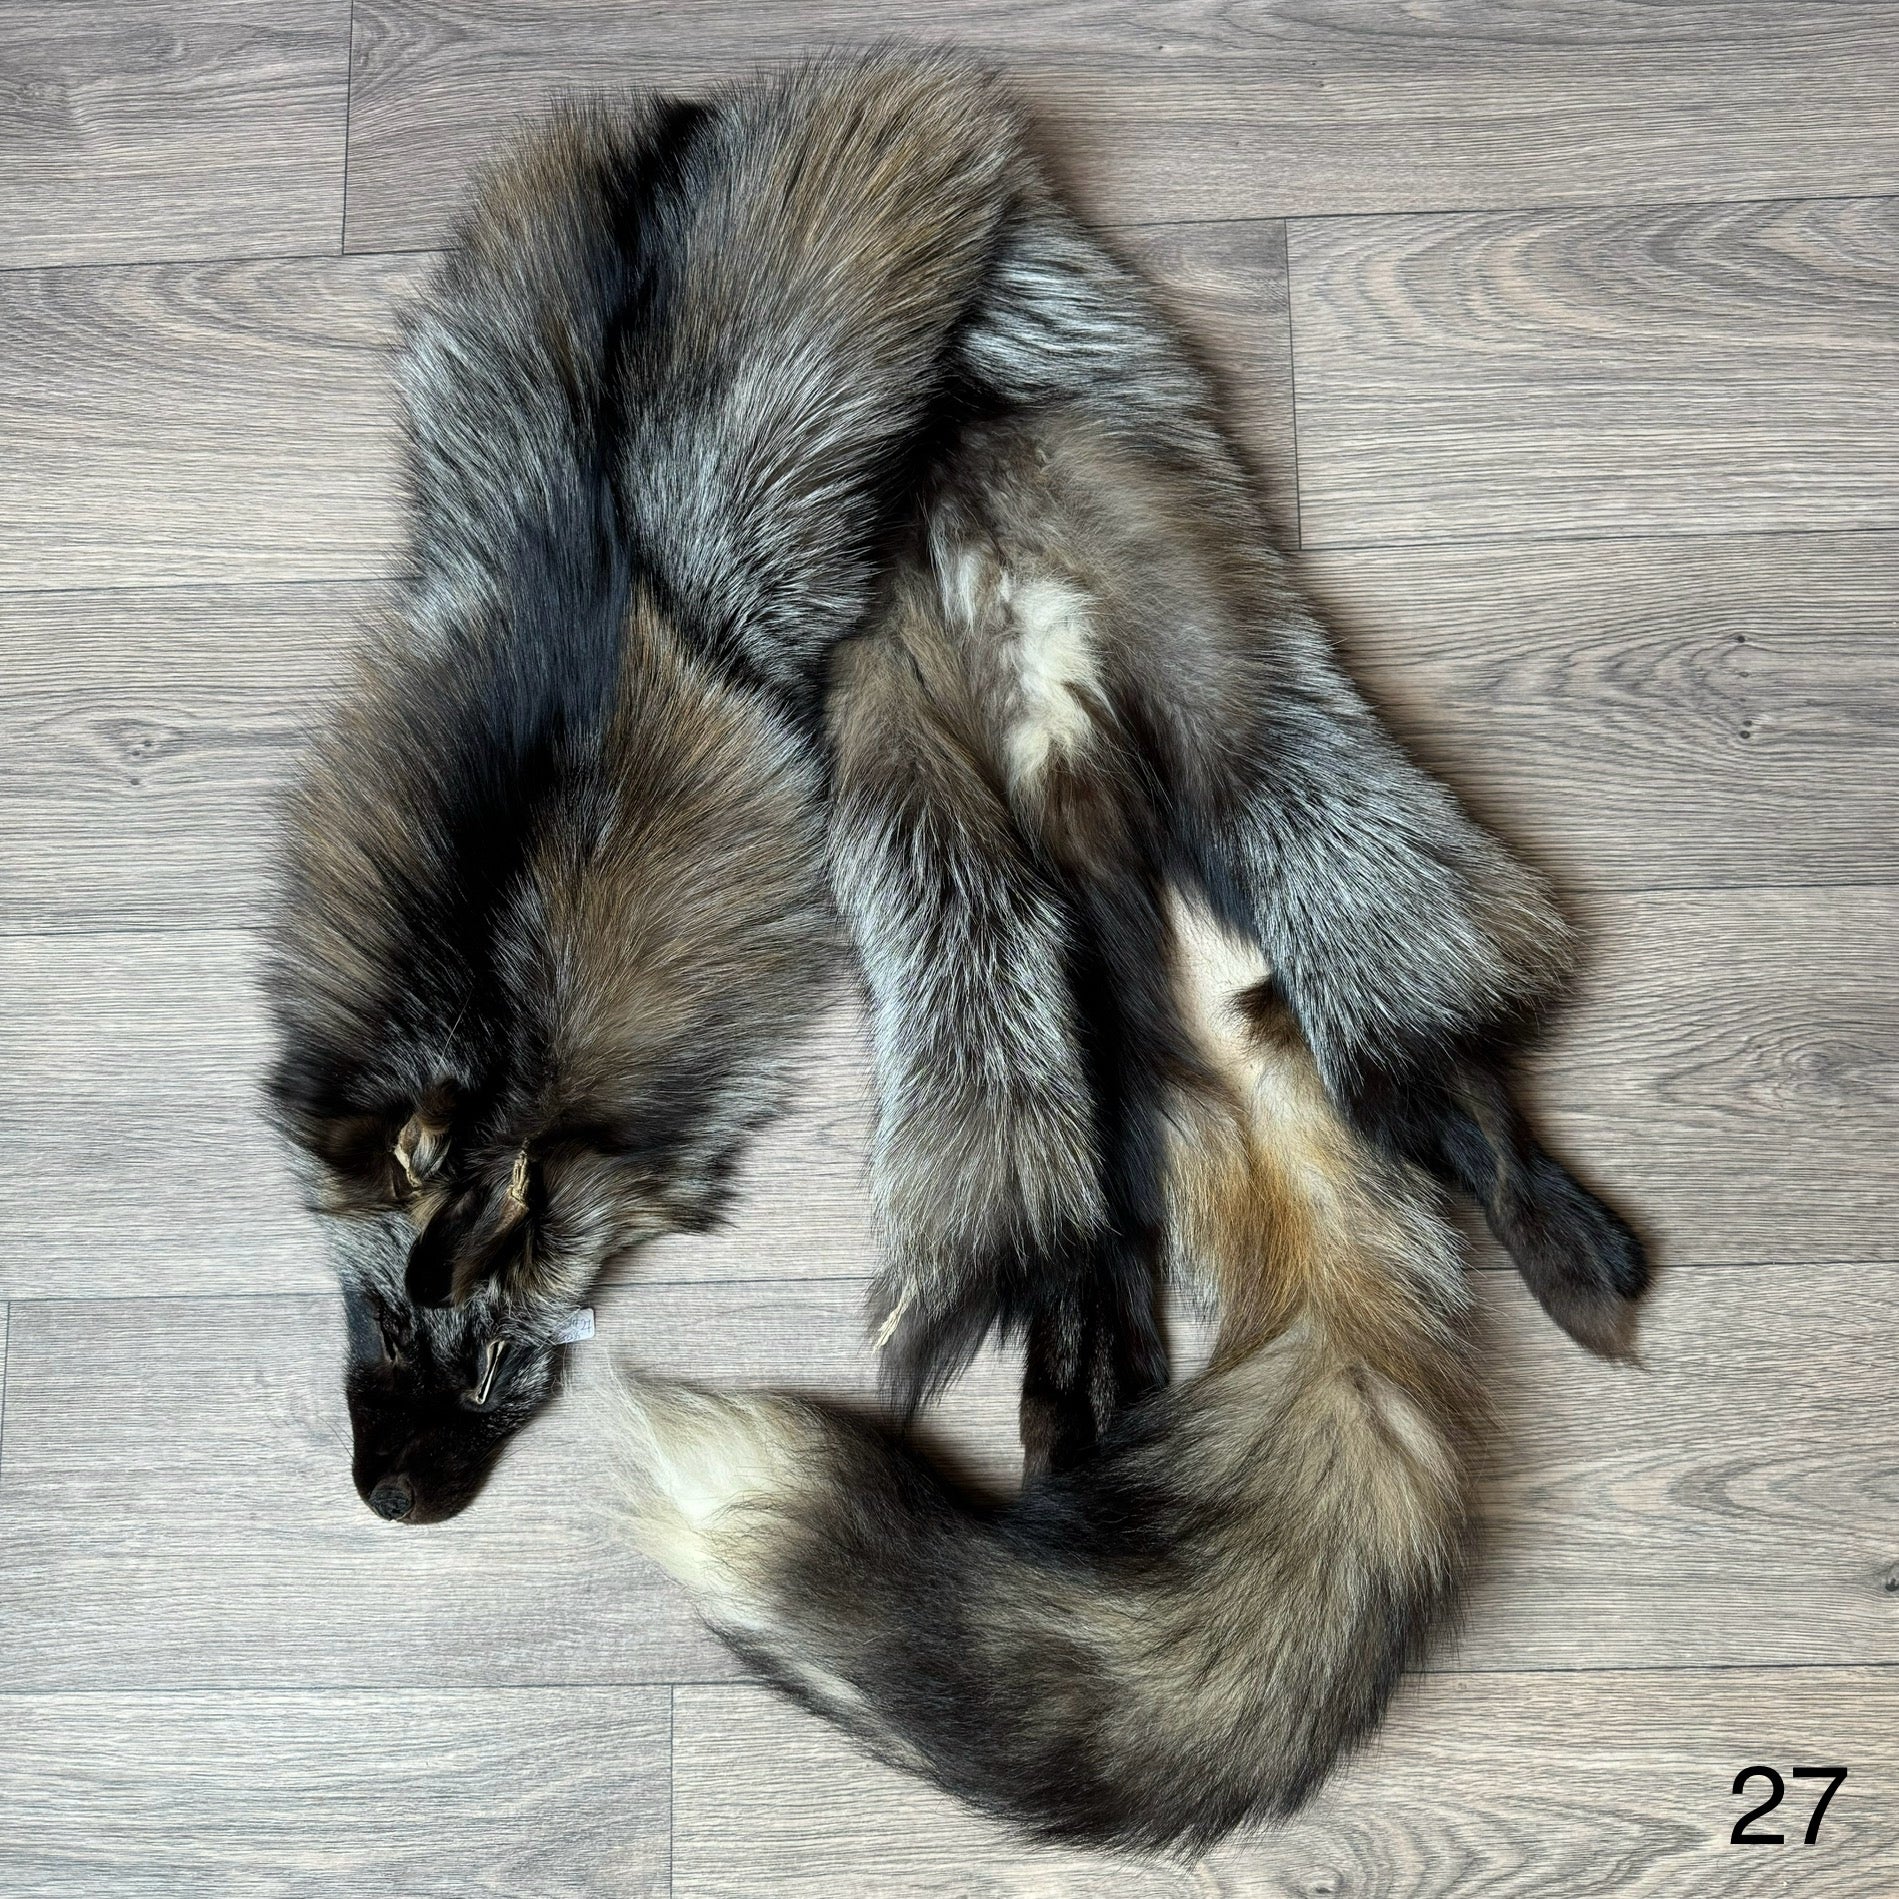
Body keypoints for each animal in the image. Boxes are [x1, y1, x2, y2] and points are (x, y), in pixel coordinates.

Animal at [597, 166, 1649, 1845]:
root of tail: (1223, 1047)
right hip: (1114, 1071)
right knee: (1133, 1278)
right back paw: (1068, 1455)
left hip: (1207, 943)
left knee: (1434, 1132)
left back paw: (1563, 1263)